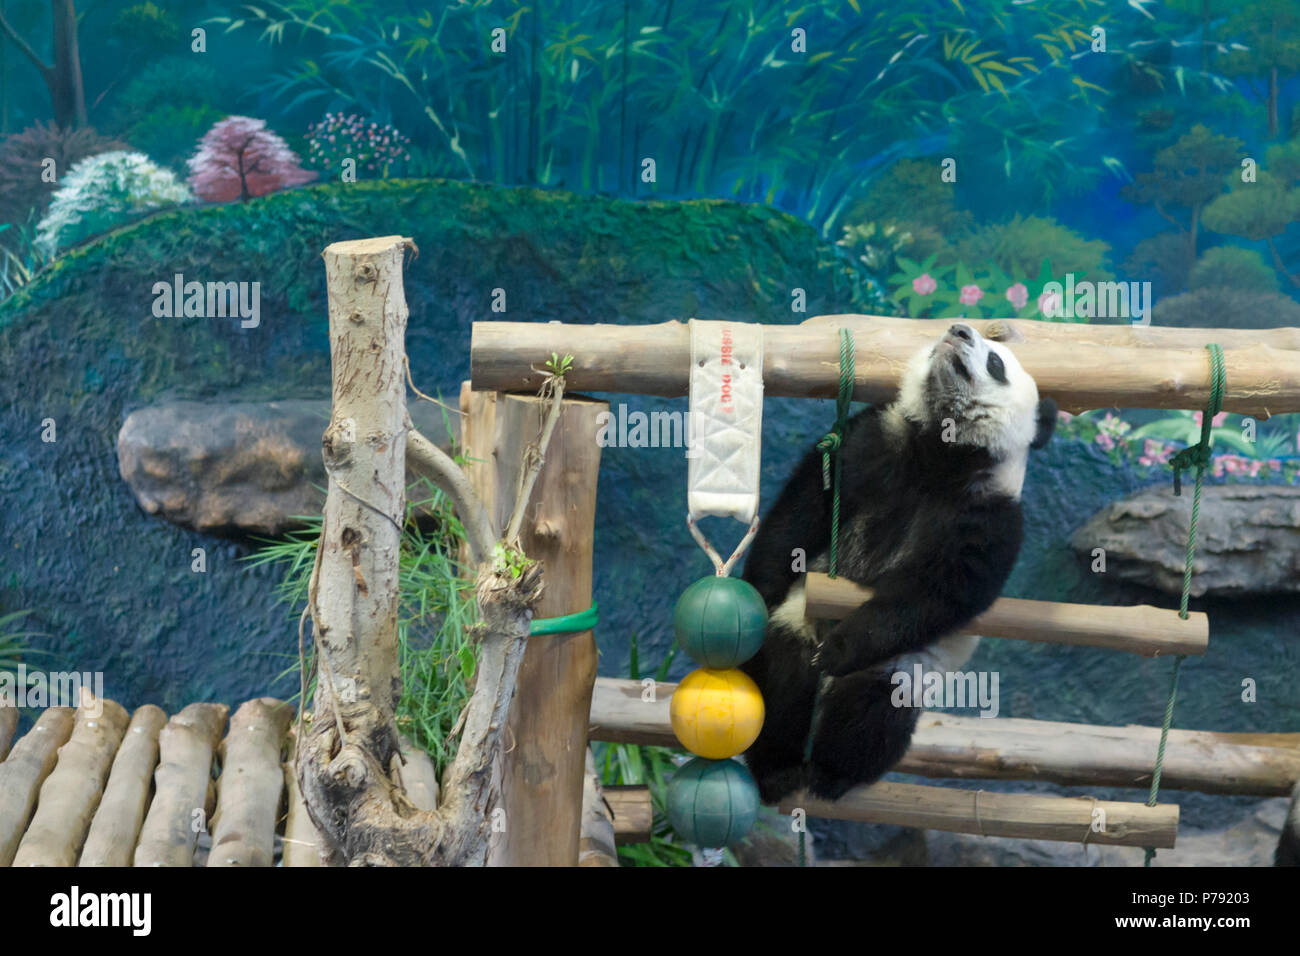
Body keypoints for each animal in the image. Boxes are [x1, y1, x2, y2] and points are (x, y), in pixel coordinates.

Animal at [739, 322, 1056, 803]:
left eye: (996, 362)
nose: (958, 330)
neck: (939, 455)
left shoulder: (986, 515)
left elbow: (936, 592)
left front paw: (842, 648)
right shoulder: (874, 441)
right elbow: (804, 509)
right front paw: (762, 584)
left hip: (906, 666)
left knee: (875, 707)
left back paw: (832, 773)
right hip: (799, 620)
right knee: (784, 671)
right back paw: (779, 770)